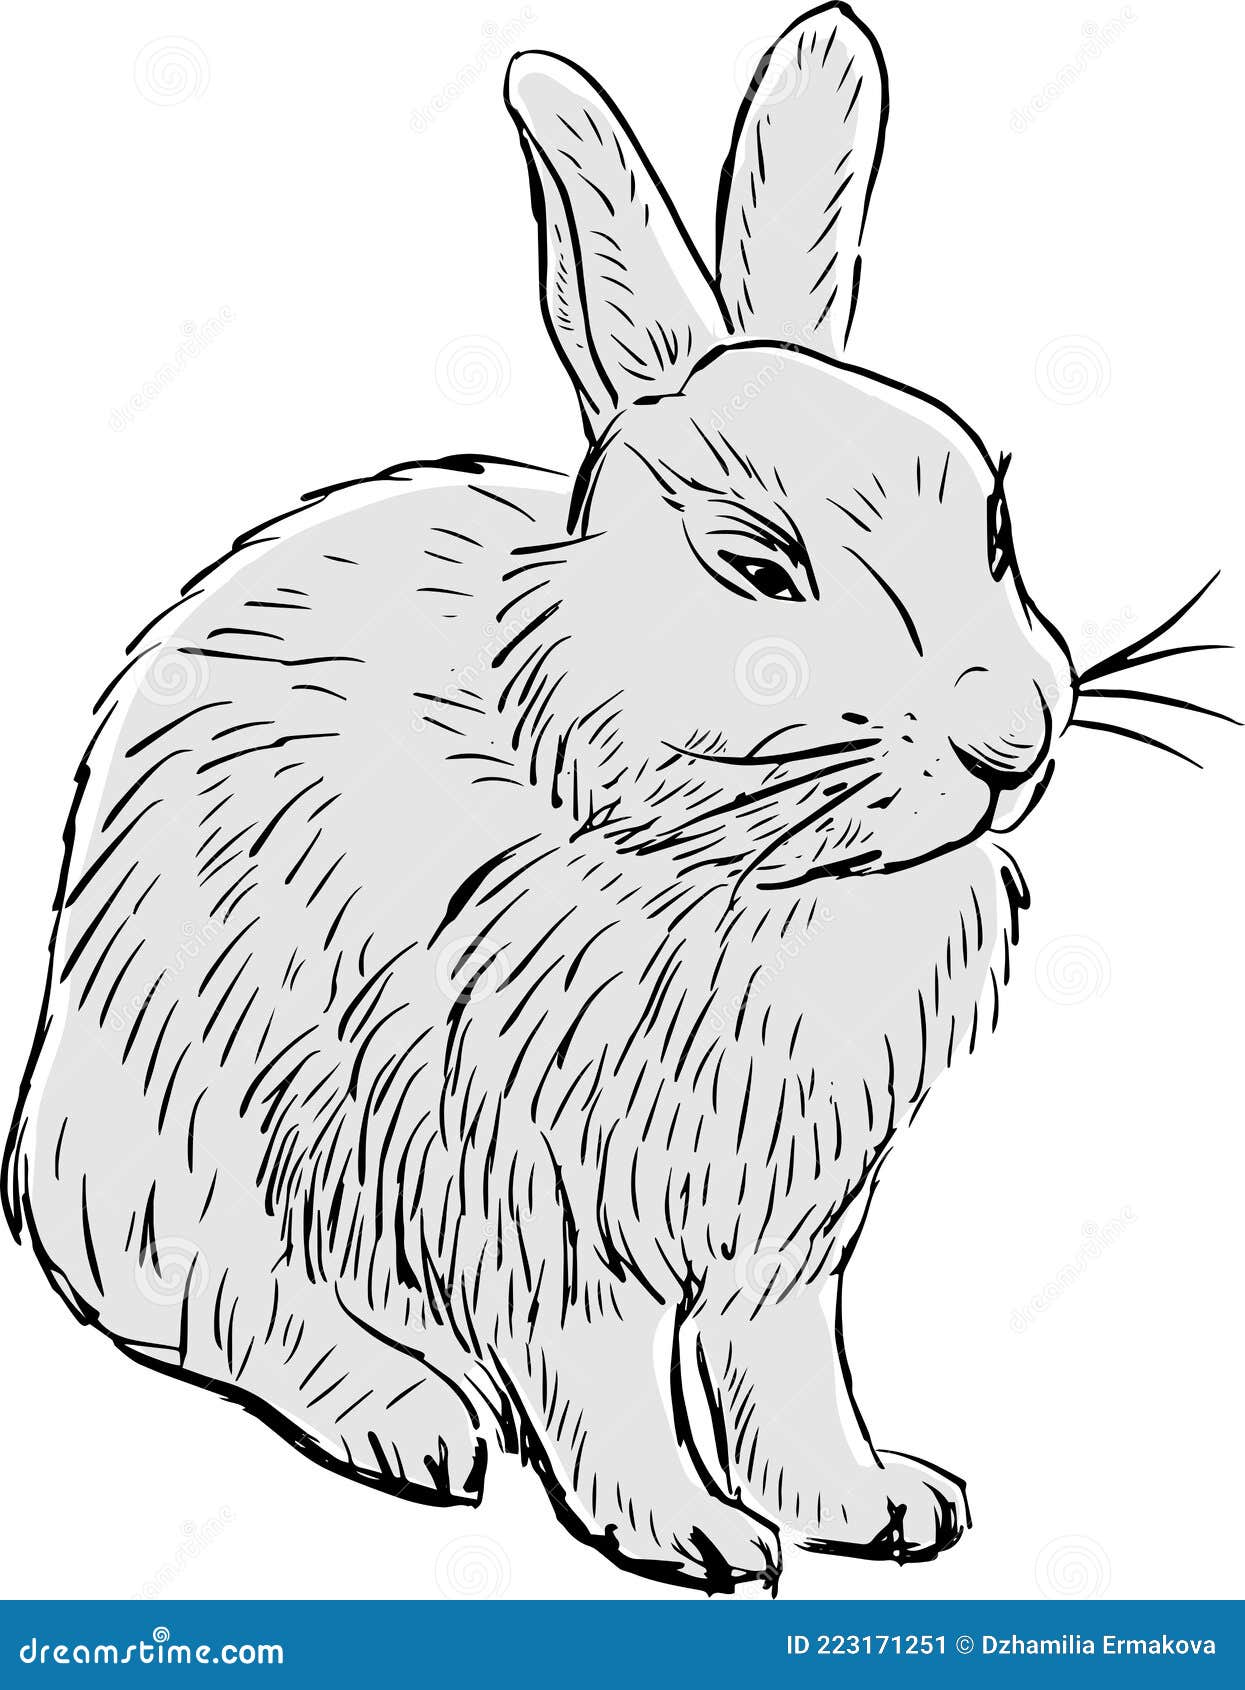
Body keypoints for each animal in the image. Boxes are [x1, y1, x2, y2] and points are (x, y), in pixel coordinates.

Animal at [7, 2, 1103, 1594]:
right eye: (758, 567)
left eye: (998, 523)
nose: (1009, 742)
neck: (733, 861)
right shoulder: (532, 1202)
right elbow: (601, 1375)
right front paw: (695, 1537)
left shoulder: (788, 1231)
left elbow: (788, 1370)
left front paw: (874, 1506)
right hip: (196, 1128)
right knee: (206, 1294)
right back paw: (410, 1416)